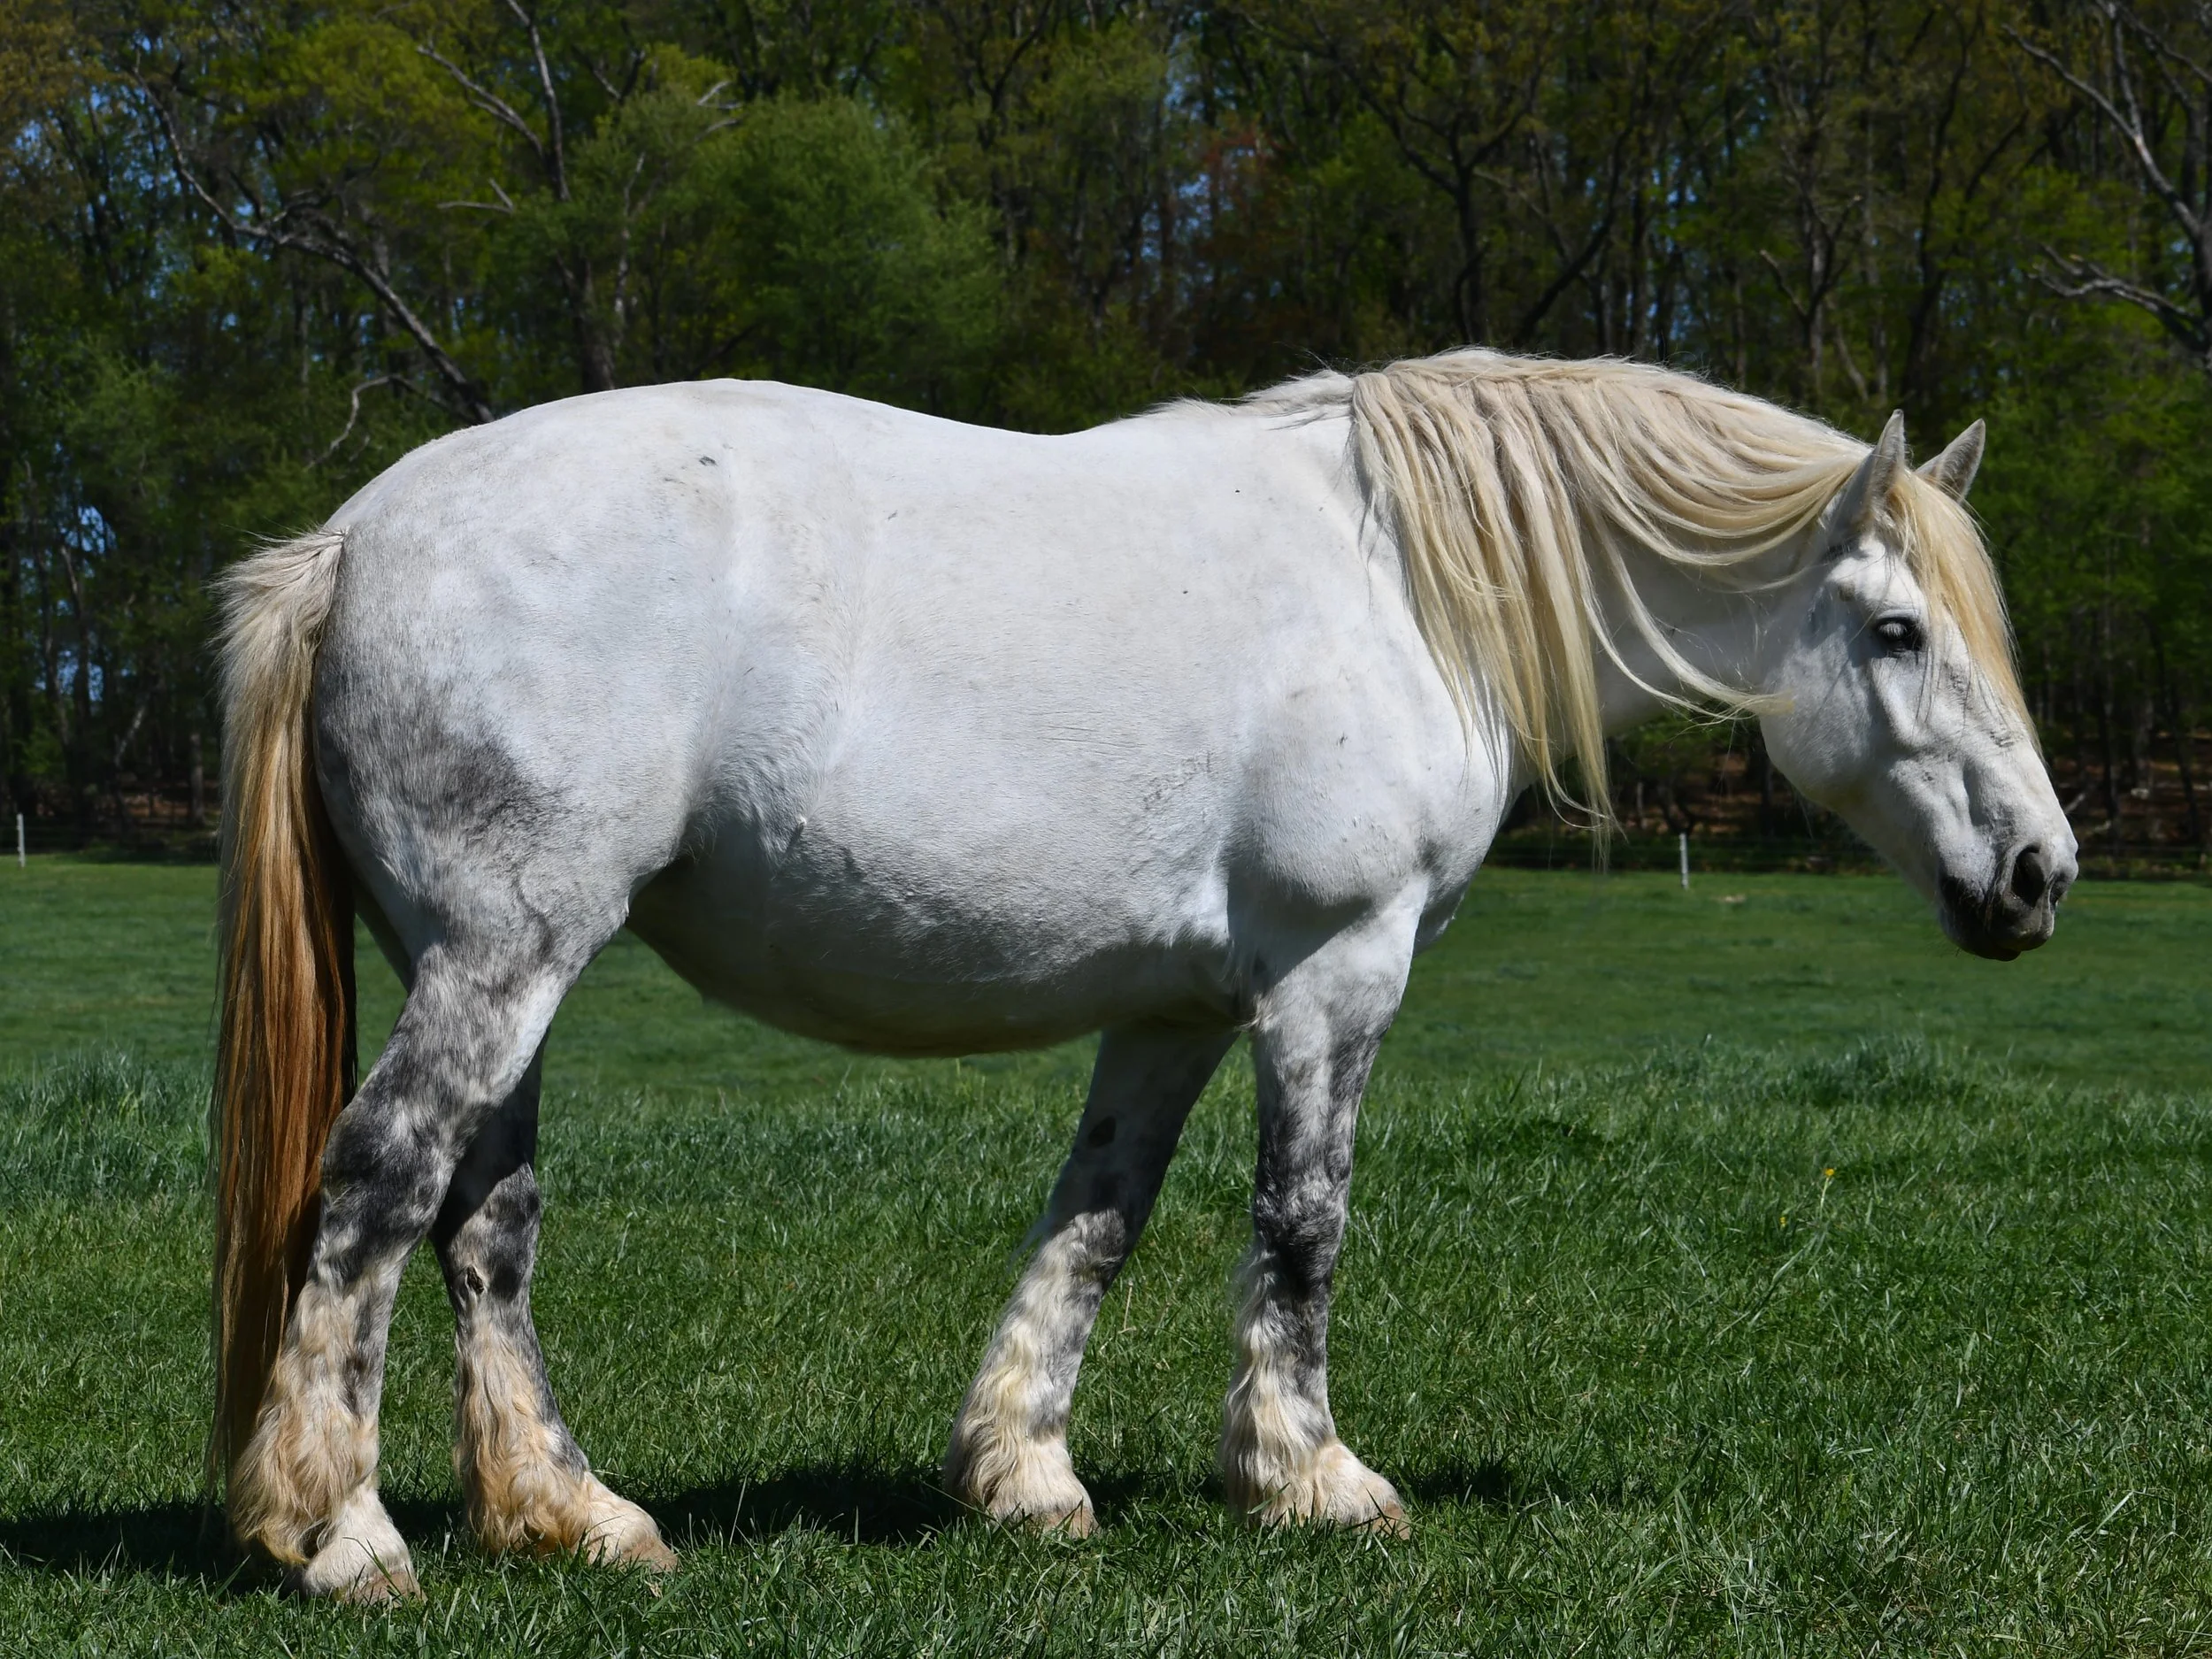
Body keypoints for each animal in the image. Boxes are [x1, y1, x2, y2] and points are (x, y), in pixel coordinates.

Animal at [210, 349, 2074, 1599]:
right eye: (1899, 632)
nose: (2040, 877)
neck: (1400, 587)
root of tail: (354, 543)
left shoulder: (1172, 1008)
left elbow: (1097, 1220)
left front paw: (1023, 1476)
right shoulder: (1336, 970)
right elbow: (1303, 1224)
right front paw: (1311, 1477)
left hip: (498, 968)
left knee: (486, 1226)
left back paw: (569, 1515)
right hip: (502, 958)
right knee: (378, 1188)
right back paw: (343, 1532)